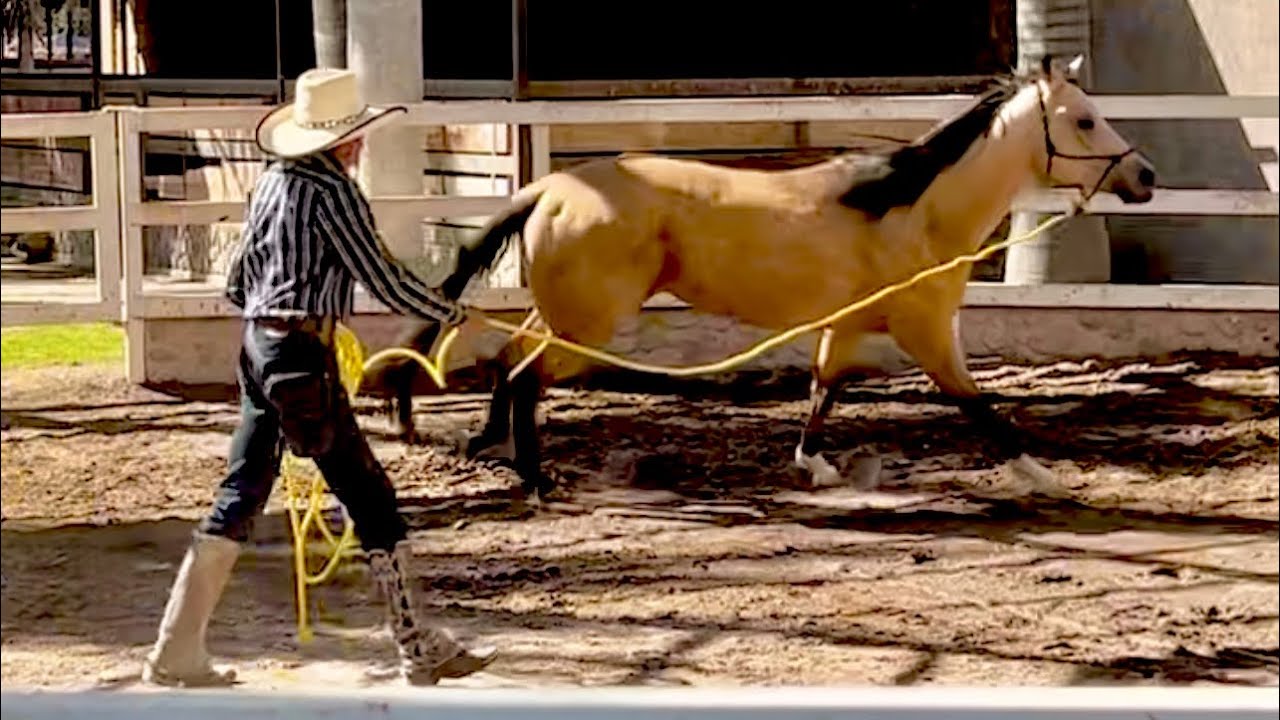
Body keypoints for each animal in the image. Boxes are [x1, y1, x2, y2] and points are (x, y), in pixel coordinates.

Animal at [376, 54, 1157, 498]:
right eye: (1084, 121)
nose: (1144, 176)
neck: (912, 210)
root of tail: (550, 188)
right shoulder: (929, 331)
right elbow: (978, 406)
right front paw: (1047, 476)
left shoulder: (847, 328)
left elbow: (822, 392)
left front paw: (815, 468)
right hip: (588, 322)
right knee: (525, 374)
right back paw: (539, 479)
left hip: (563, 313)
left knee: (509, 362)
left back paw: (490, 448)